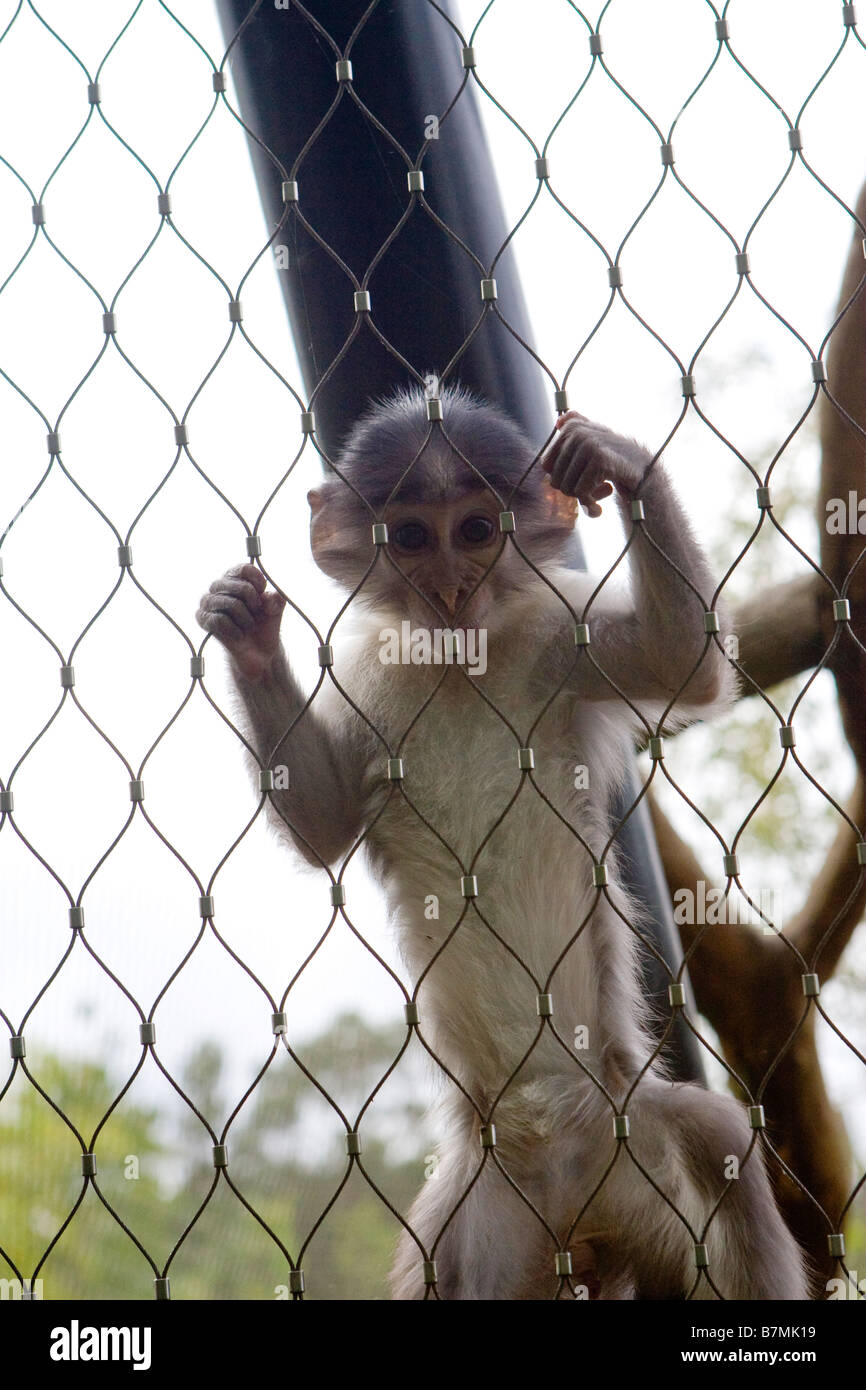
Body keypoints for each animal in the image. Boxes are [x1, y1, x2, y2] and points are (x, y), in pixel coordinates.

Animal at [197, 385, 809, 1300]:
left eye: (478, 530)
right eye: (413, 536)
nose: (452, 585)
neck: (458, 661)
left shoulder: (558, 637)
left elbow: (685, 664)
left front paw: (621, 463)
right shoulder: (374, 681)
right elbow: (324, 822)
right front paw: (248, 637)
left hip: (638, 1125)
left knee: (719, 1135)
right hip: (472, 1211)